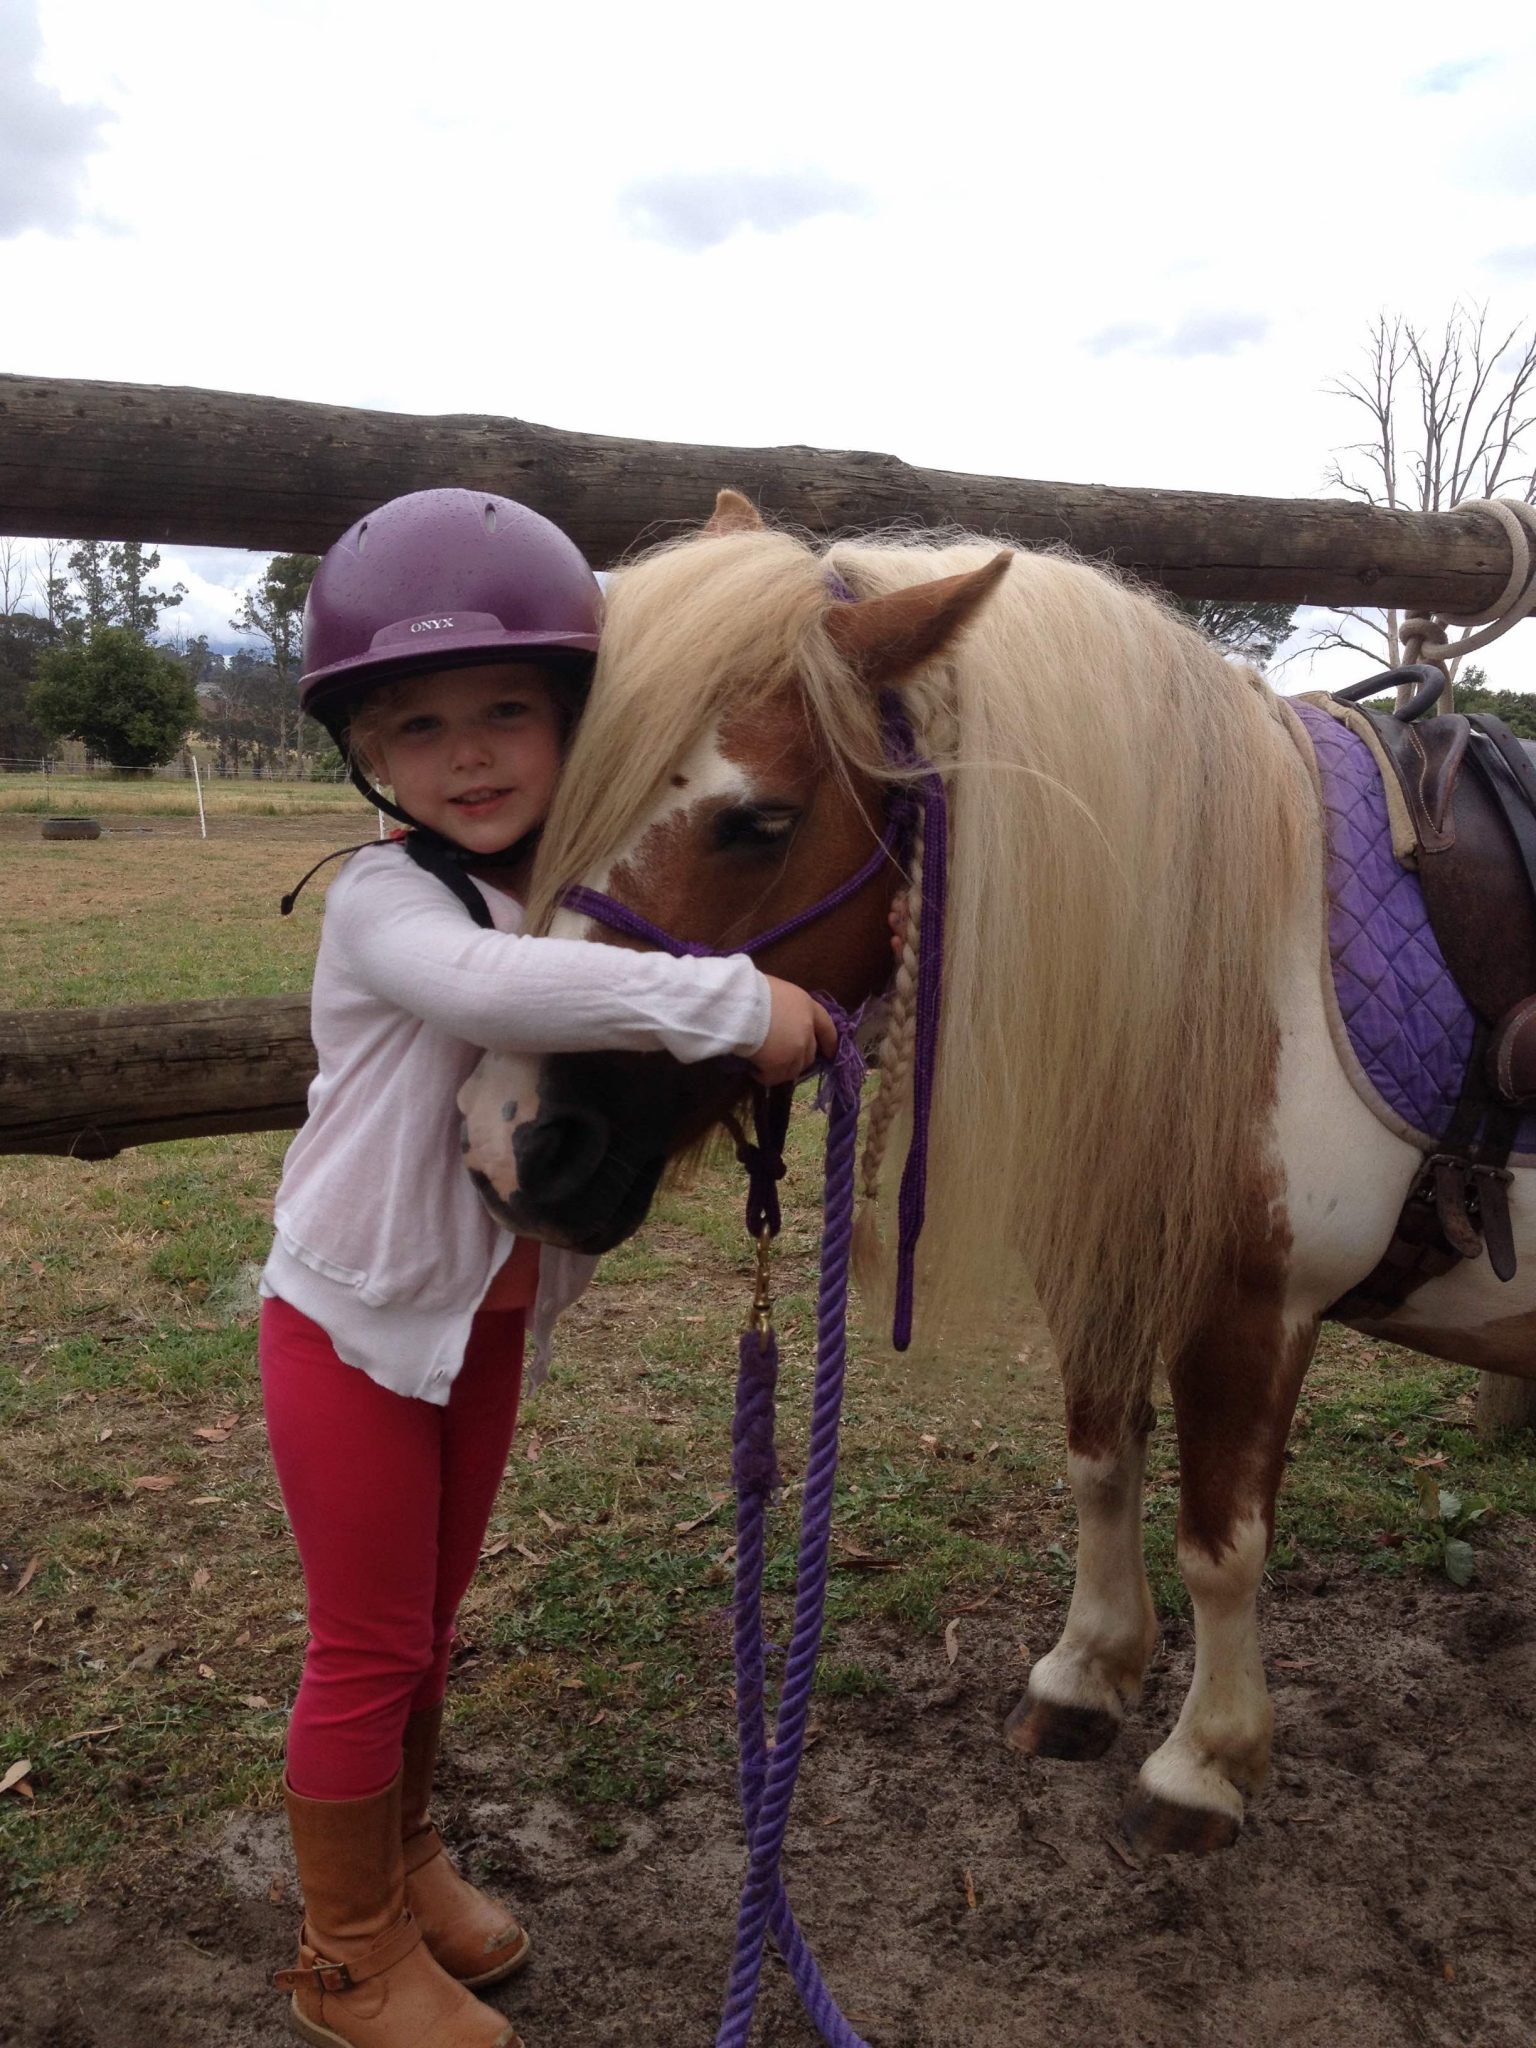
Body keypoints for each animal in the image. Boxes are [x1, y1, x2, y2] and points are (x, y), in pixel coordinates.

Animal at [457, 488, 1536, 1856]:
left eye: (759, 822)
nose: (510, 1137)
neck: (1238, 945)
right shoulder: (1102, 1263)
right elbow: (1101, 1460)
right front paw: (1085, 1677)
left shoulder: (1251, 1307)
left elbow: (1222, 1540)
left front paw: (1205, 1762)